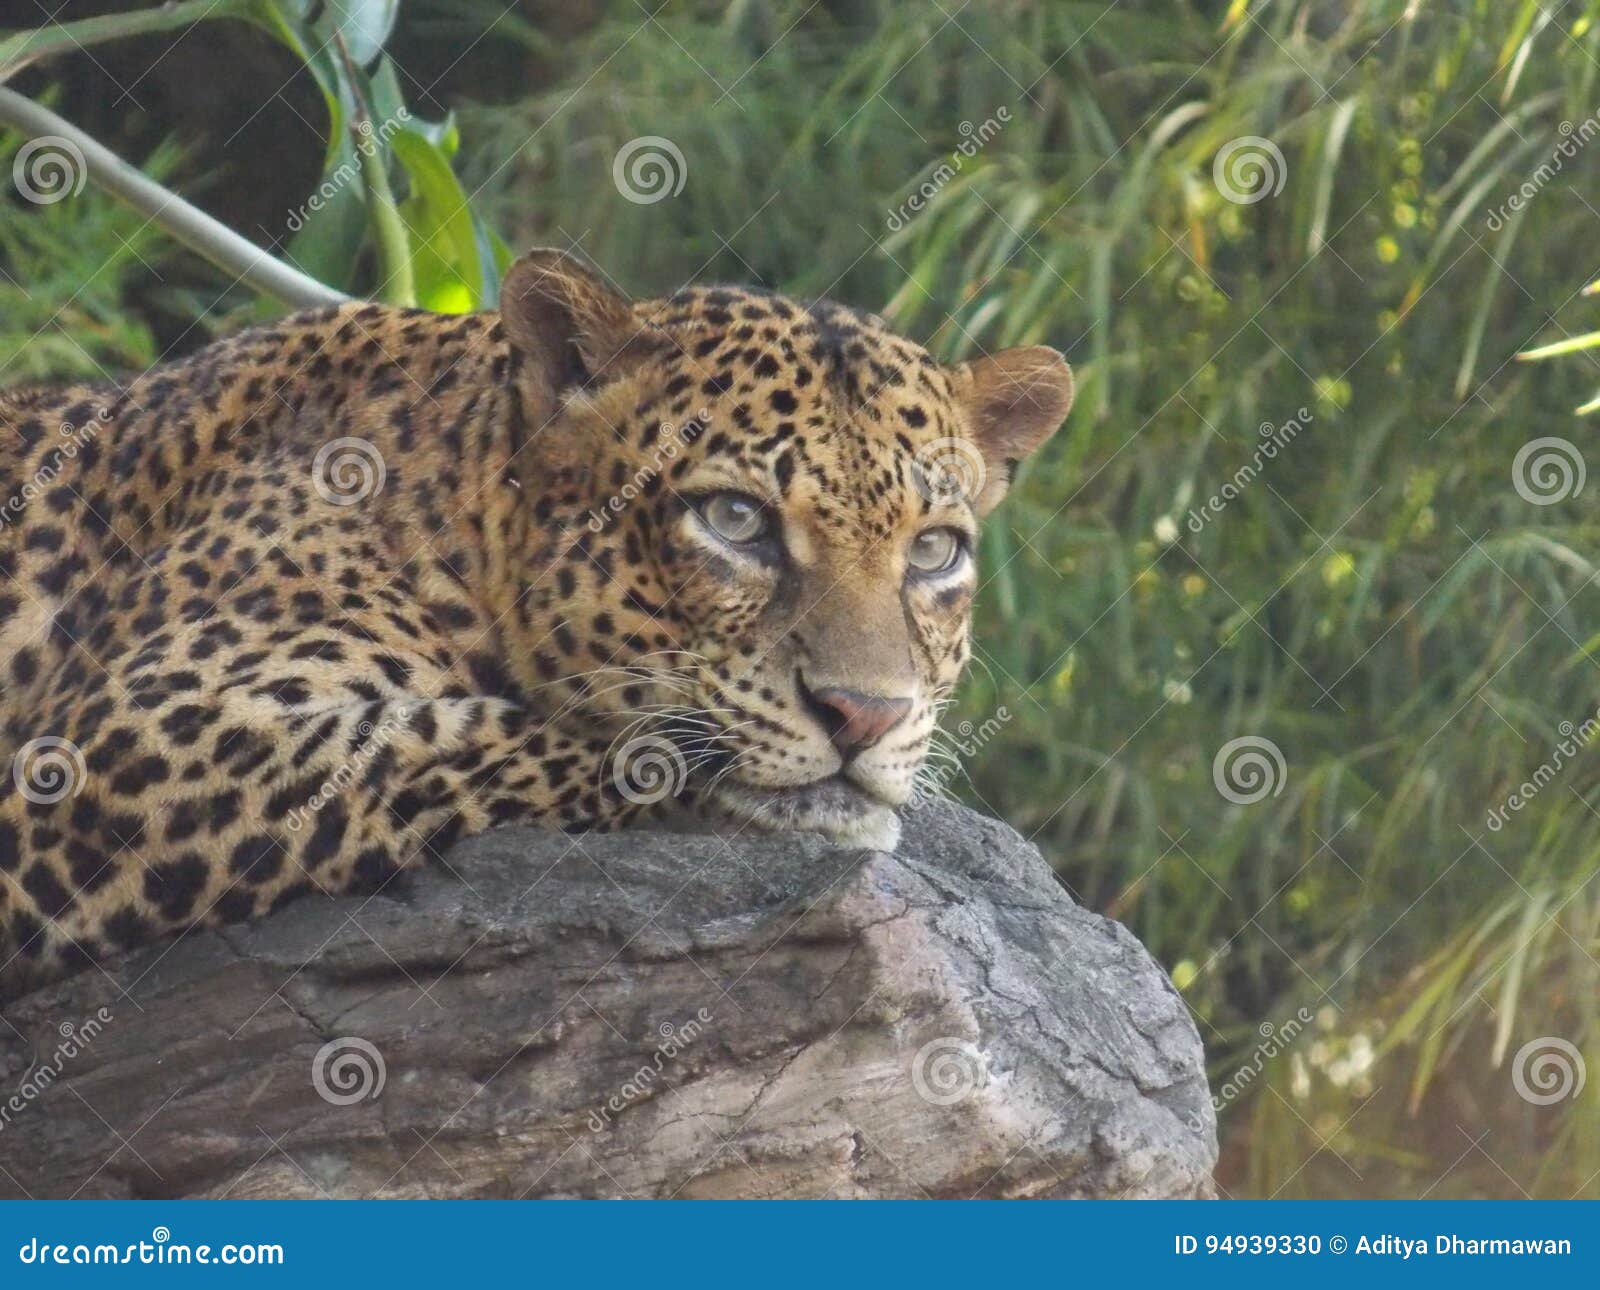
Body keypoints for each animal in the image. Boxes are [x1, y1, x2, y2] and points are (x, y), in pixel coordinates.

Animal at [0, 249, 1072, 1000]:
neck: (448, 504)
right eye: (736, 520)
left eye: (933, 552)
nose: (865, 716)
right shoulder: (121, 734)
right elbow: (524, 744)